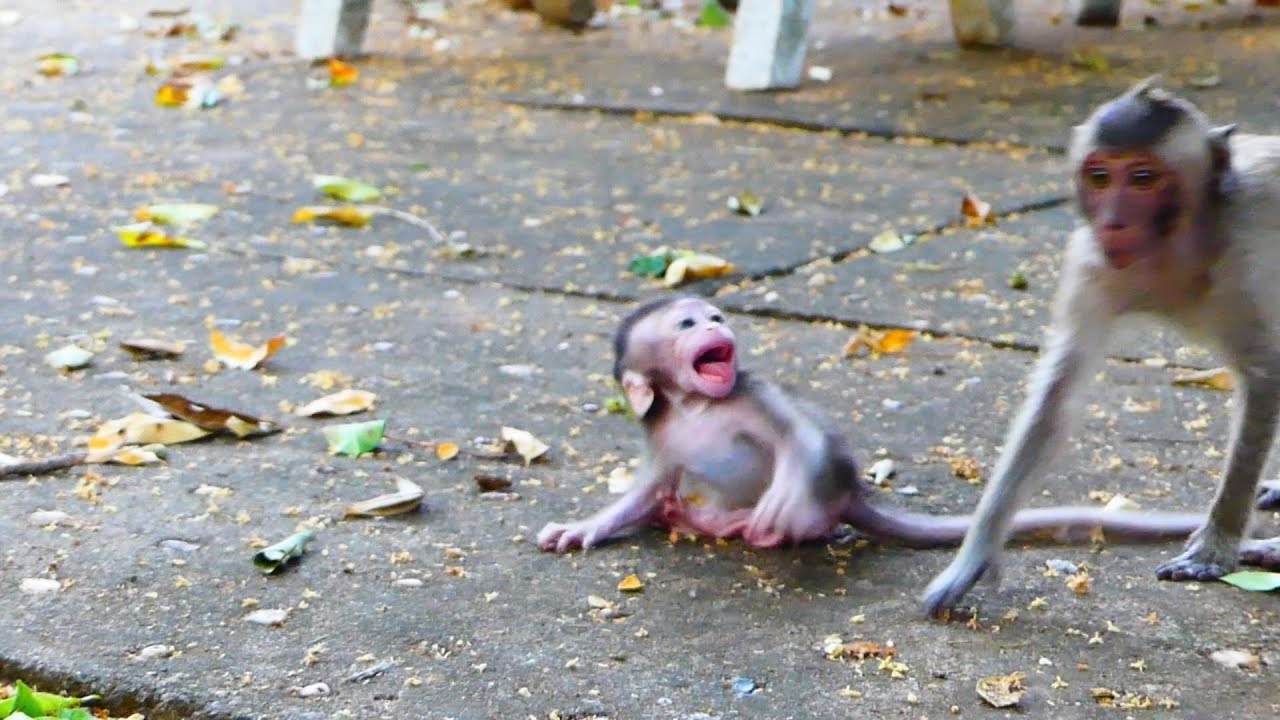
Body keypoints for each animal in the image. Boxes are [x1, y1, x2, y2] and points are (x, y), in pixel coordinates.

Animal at [537, 295, 1208, 554]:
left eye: (713, 316)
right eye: (687, 325)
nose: (716, 324)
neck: (698, 404)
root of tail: (849, 497)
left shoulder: (751, 393)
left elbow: (803, 438)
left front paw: (783, 500)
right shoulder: (658, 432)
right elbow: (646, 487)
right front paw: (583, 527)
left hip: (825, 491)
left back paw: (771, 525)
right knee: (674, 500)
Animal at [922, 78, 1280, 617]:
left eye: (1144, 177)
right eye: (1099, 176)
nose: (1113, 221)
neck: (1185, 240)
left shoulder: (1246, 257)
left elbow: (1263, 381)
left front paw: (1215, 546)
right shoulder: (1091, 263)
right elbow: (1057, 396)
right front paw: (974, 555)